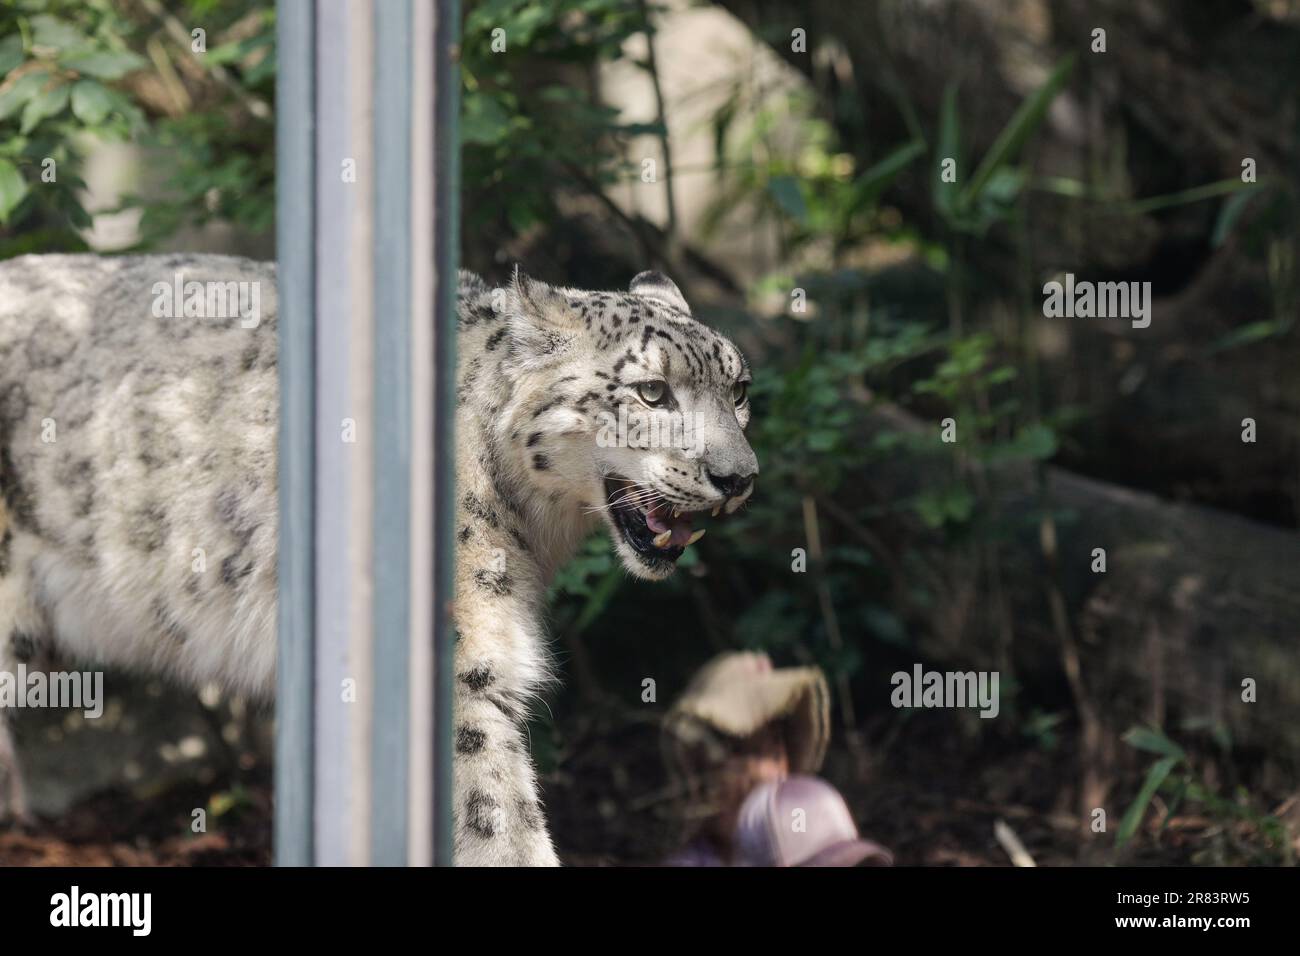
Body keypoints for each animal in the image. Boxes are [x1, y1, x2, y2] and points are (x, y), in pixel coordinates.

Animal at [0, 253, 758, 866]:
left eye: (739, 389)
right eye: (652, 391)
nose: (739, 476)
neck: (531, 535)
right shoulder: (461, 670)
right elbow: (498, 819)